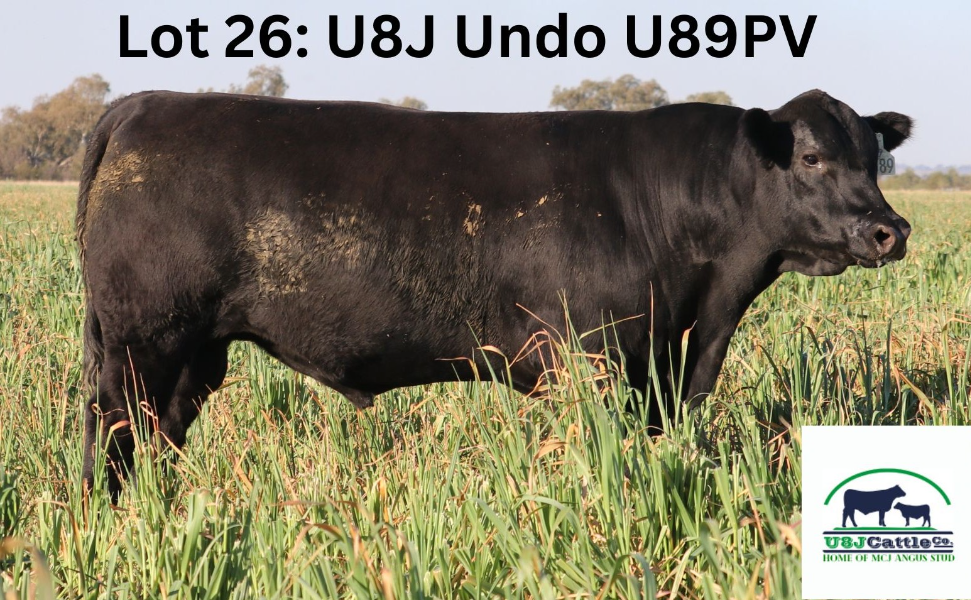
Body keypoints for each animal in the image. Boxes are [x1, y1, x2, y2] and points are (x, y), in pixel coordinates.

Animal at [76, 89, 913, 496]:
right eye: (811, 157)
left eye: (873, 156)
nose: (888, 230)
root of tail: (142, 104)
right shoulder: (587, 357)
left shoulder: (659, 366)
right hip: (142, 340)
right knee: (113, 432)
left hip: (191, 353)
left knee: (156, 433)